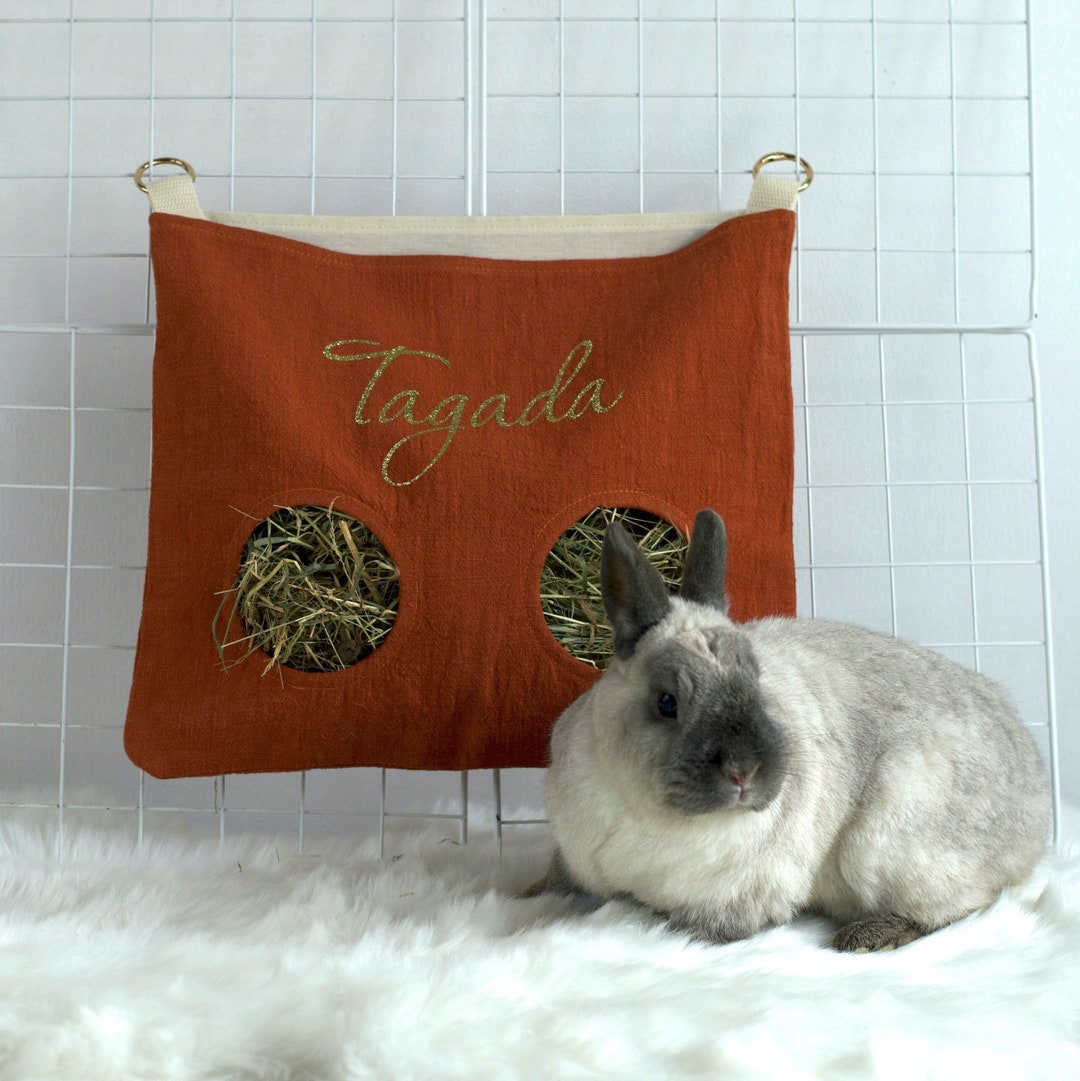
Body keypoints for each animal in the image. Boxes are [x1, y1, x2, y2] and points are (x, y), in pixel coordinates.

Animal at [531, 508, 1052, 952]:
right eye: (666, 702)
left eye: (758, 681)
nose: (744, 770)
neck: (646, 812)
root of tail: (1035, 816)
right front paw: (530, 891)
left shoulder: (730, 902)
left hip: (892, 846)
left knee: (959, 909)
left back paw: (865, 937)